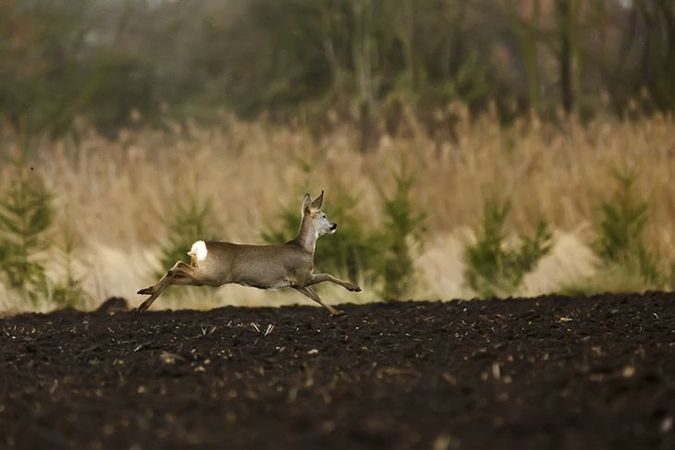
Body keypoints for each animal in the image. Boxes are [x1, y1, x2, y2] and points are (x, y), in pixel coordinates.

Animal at [137, 191, 361, 315]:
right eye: (324, 215)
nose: (334, 225)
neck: (304, 247)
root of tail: (198, 246)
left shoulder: (296, 283)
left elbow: (316, 297)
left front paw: (337, 312)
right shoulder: (303, 275)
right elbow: (328, 277)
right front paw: (354, 288)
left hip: (204, 277)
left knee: (175, 274)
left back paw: (145, 298)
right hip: (213, 275)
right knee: (177, 267)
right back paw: (146, 296)